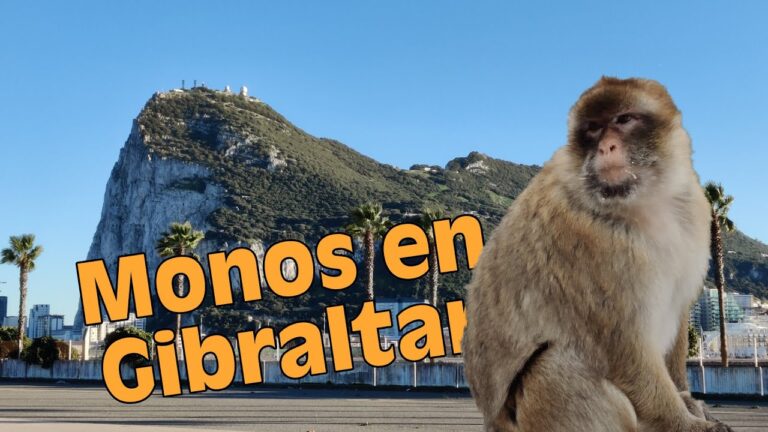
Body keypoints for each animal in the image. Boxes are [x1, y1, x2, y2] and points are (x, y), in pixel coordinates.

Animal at [462, 77, 732, 432]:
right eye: (592, 128)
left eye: (623, 119)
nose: (605, 147)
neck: (645, 202)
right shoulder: (592, 247)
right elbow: (625, 350)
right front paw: (684, 423)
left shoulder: (694, 213)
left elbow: (677, 311)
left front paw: (687, 400)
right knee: (556, 365)